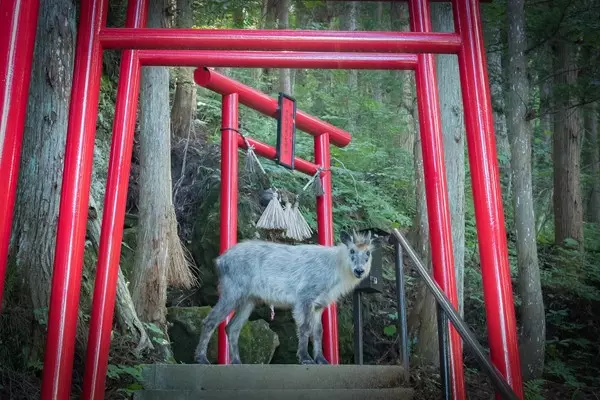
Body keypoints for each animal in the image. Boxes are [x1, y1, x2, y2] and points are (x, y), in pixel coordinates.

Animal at [195, 230, 372, 364]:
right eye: (352, 251)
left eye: (368, 253)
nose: (359, 271)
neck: (336, 267)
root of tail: (220, 260)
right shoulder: (304, 298)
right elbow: (305, 327)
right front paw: (305, 358)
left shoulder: (319, 305)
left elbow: (318, 331)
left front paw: (321, 360)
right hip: (232, 292)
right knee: (210, 321)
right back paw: (201, 358)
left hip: (248, 300)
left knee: (232, 327)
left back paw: (237, 362)